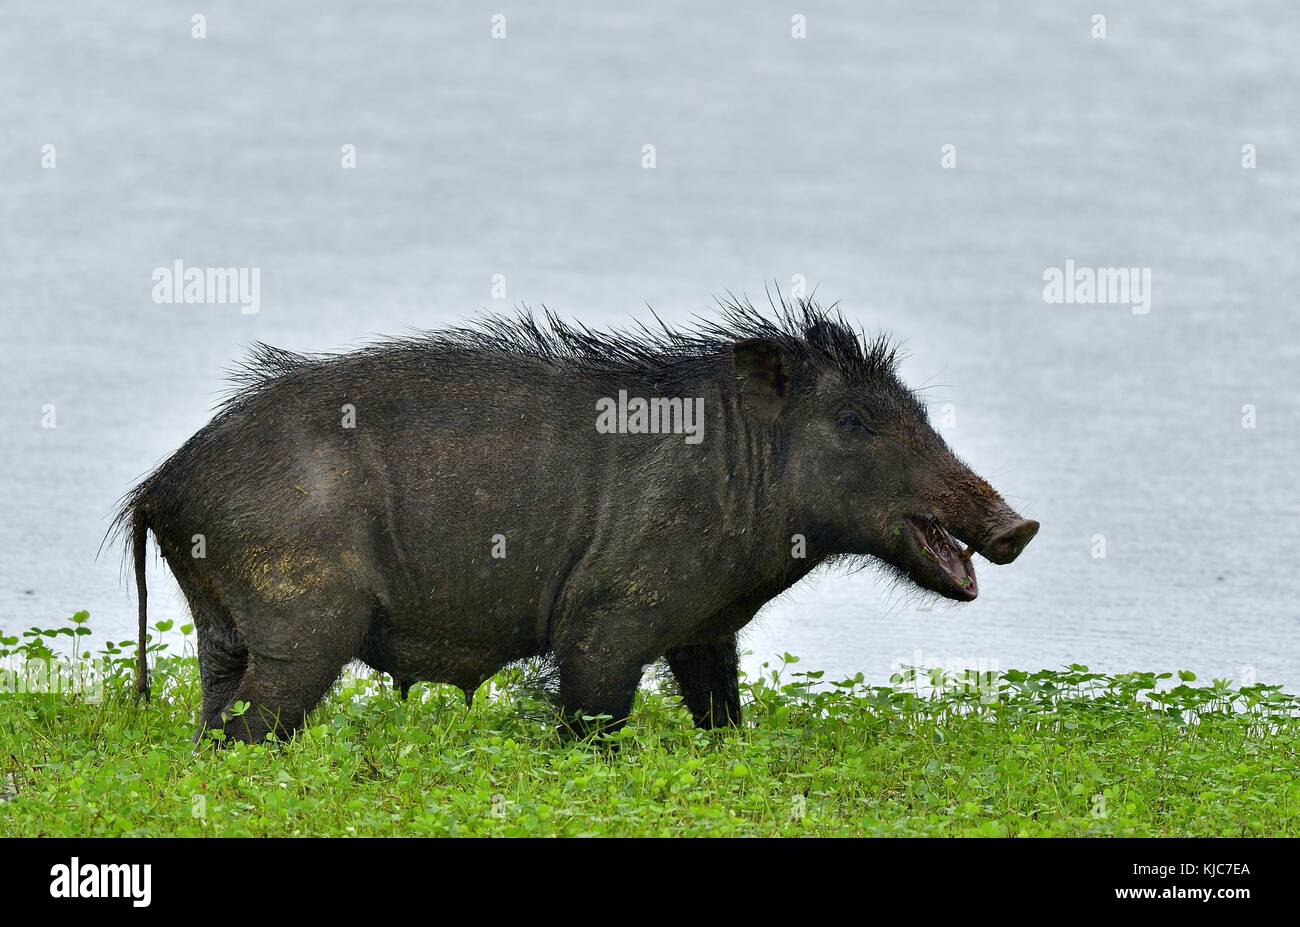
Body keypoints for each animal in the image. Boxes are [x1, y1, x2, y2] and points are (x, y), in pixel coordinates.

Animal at [114, 296, 1038, 743]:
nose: (1017, 527)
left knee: (209, 722)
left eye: (913, 406)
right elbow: (594, 729)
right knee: (245, 732)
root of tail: (160, 484)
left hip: (223, 629)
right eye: (853, 419)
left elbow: (723, 721)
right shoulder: (605, 620)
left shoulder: (706, 631)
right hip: (304, 624)